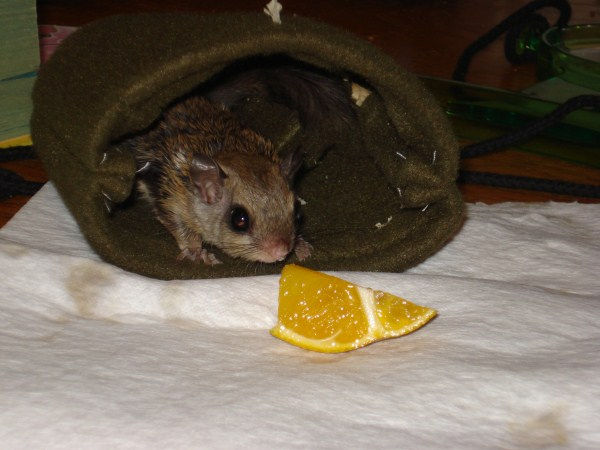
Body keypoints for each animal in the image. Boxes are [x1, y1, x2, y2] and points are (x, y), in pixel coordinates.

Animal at [128, 64, 354, 265]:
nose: (280, 252)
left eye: (297, 214)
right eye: (239, 220)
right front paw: (197, 252)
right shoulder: (170, 197)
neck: (229, 151)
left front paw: (300, 245)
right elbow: (180, 227)